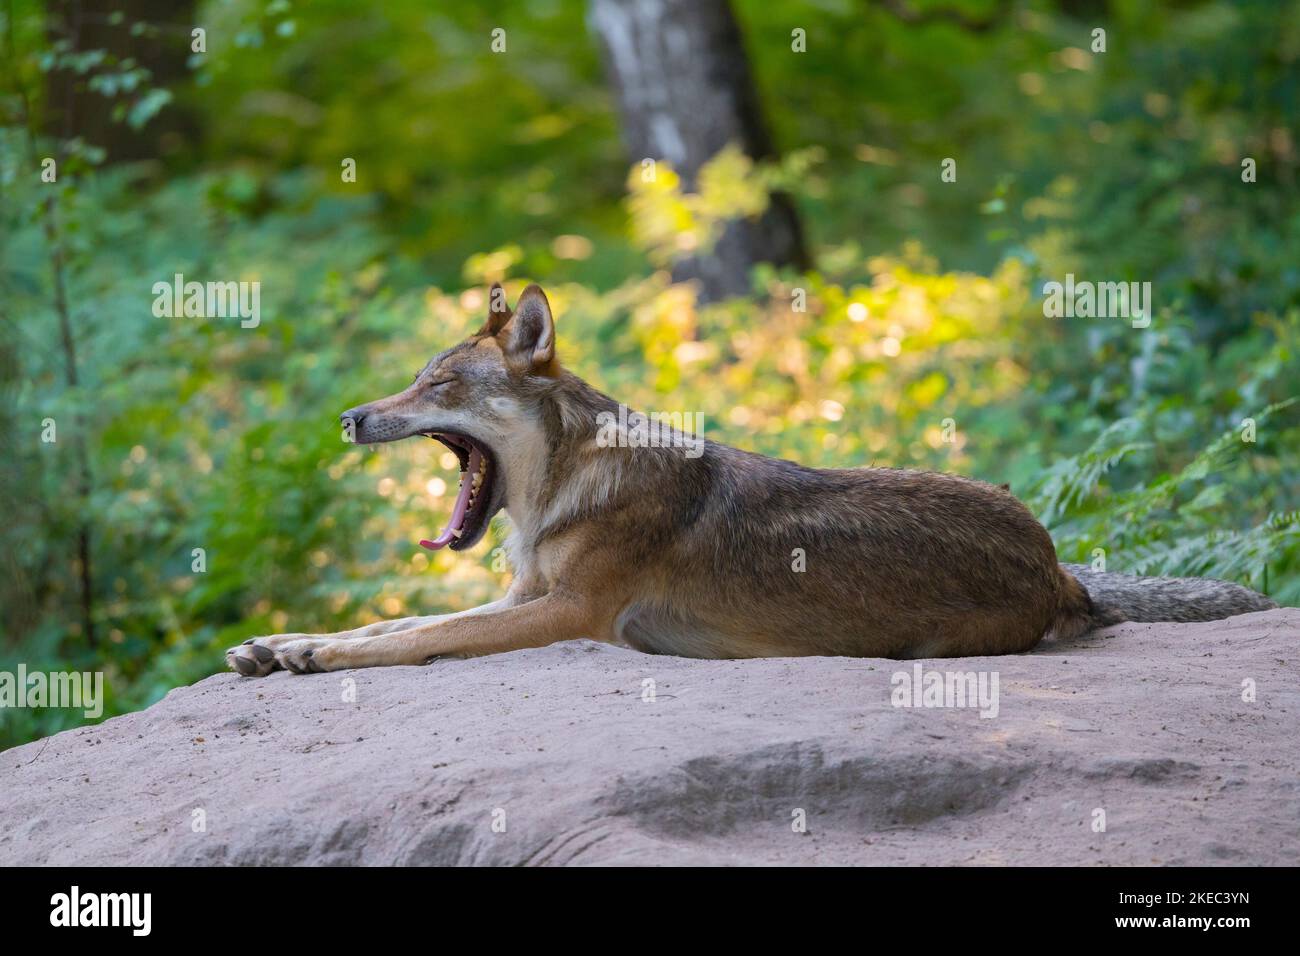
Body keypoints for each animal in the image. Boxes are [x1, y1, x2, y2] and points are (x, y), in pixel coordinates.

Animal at [226, 283, 1276, 676]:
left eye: (437, 387)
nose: (351, 418)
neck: (564, 486)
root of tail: (1059, 565)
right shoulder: (525, 595)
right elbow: (395, 622)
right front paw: (279, 643)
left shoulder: (567, 614)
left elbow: (418, 637)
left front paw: (310, 654)